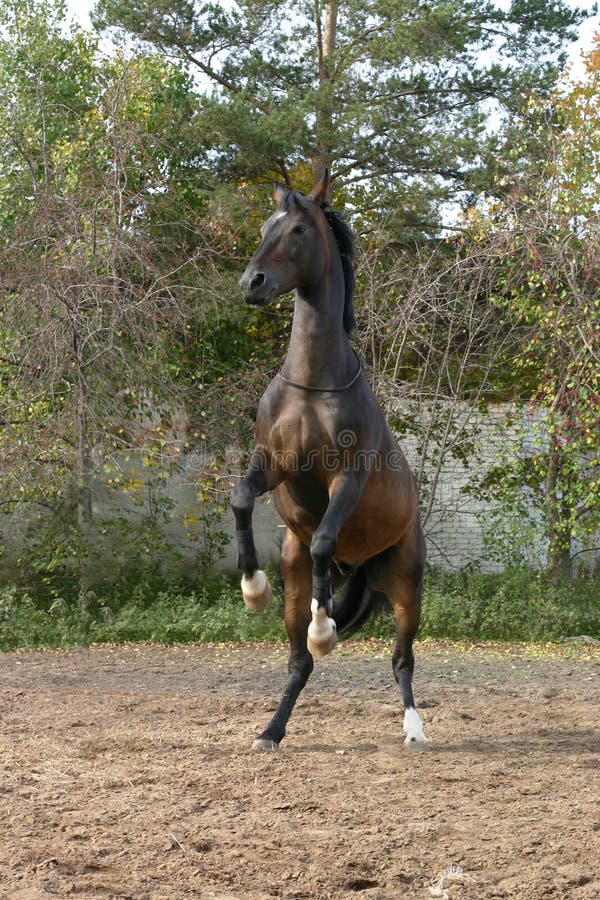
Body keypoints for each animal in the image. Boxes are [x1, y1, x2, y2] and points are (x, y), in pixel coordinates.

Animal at [231, 172, 429, 752]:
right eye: (265, 225)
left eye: (298, 229)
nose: (252, 284)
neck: (313, 384)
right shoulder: (273, 464)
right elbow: (241, 497)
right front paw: (253, 588)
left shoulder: (348, 477)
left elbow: (323, 536)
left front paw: (325, 629)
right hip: (298, 574)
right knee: (299, 663)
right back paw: (271, 732)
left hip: (406, 585)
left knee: (402, 659)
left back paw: (414, 729)